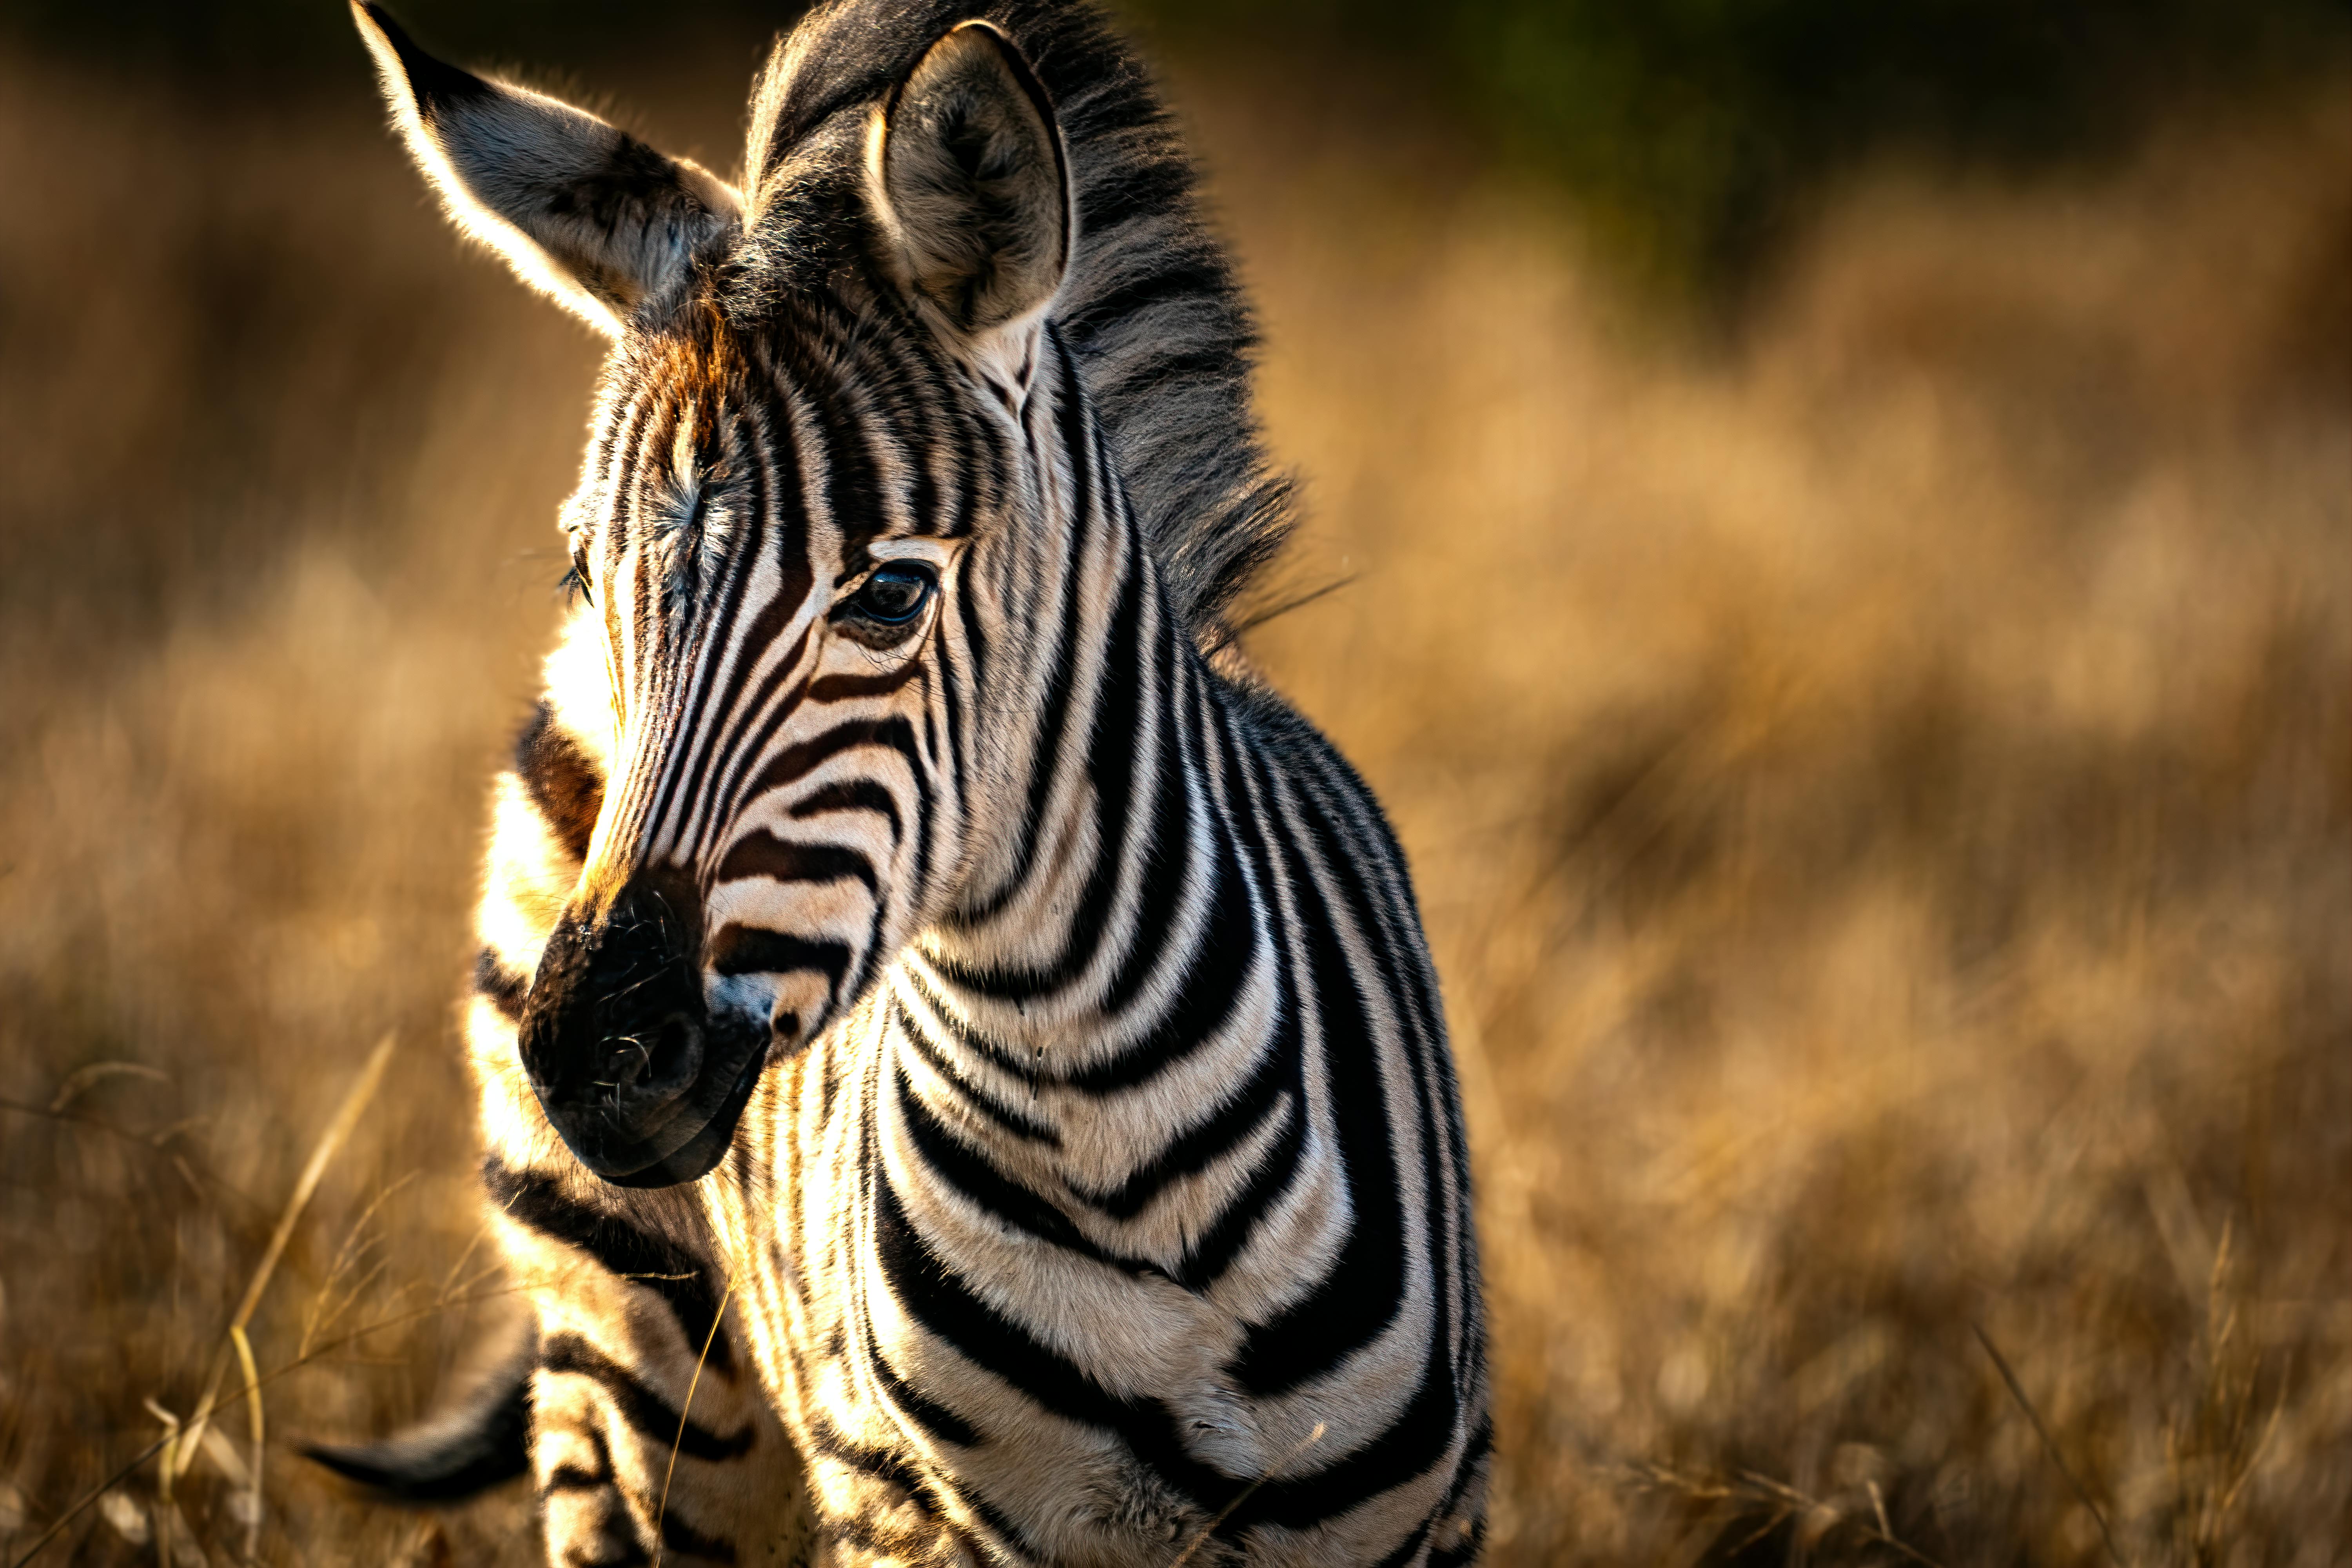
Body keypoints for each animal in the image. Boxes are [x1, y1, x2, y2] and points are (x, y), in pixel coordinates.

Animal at [311, 2, 1489, 1562]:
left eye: (884, 595)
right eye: (580, 569)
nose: (592, 1056)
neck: (1099, 1121)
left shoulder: (1411, 1518)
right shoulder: (937, 1510)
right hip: (622, 1355)